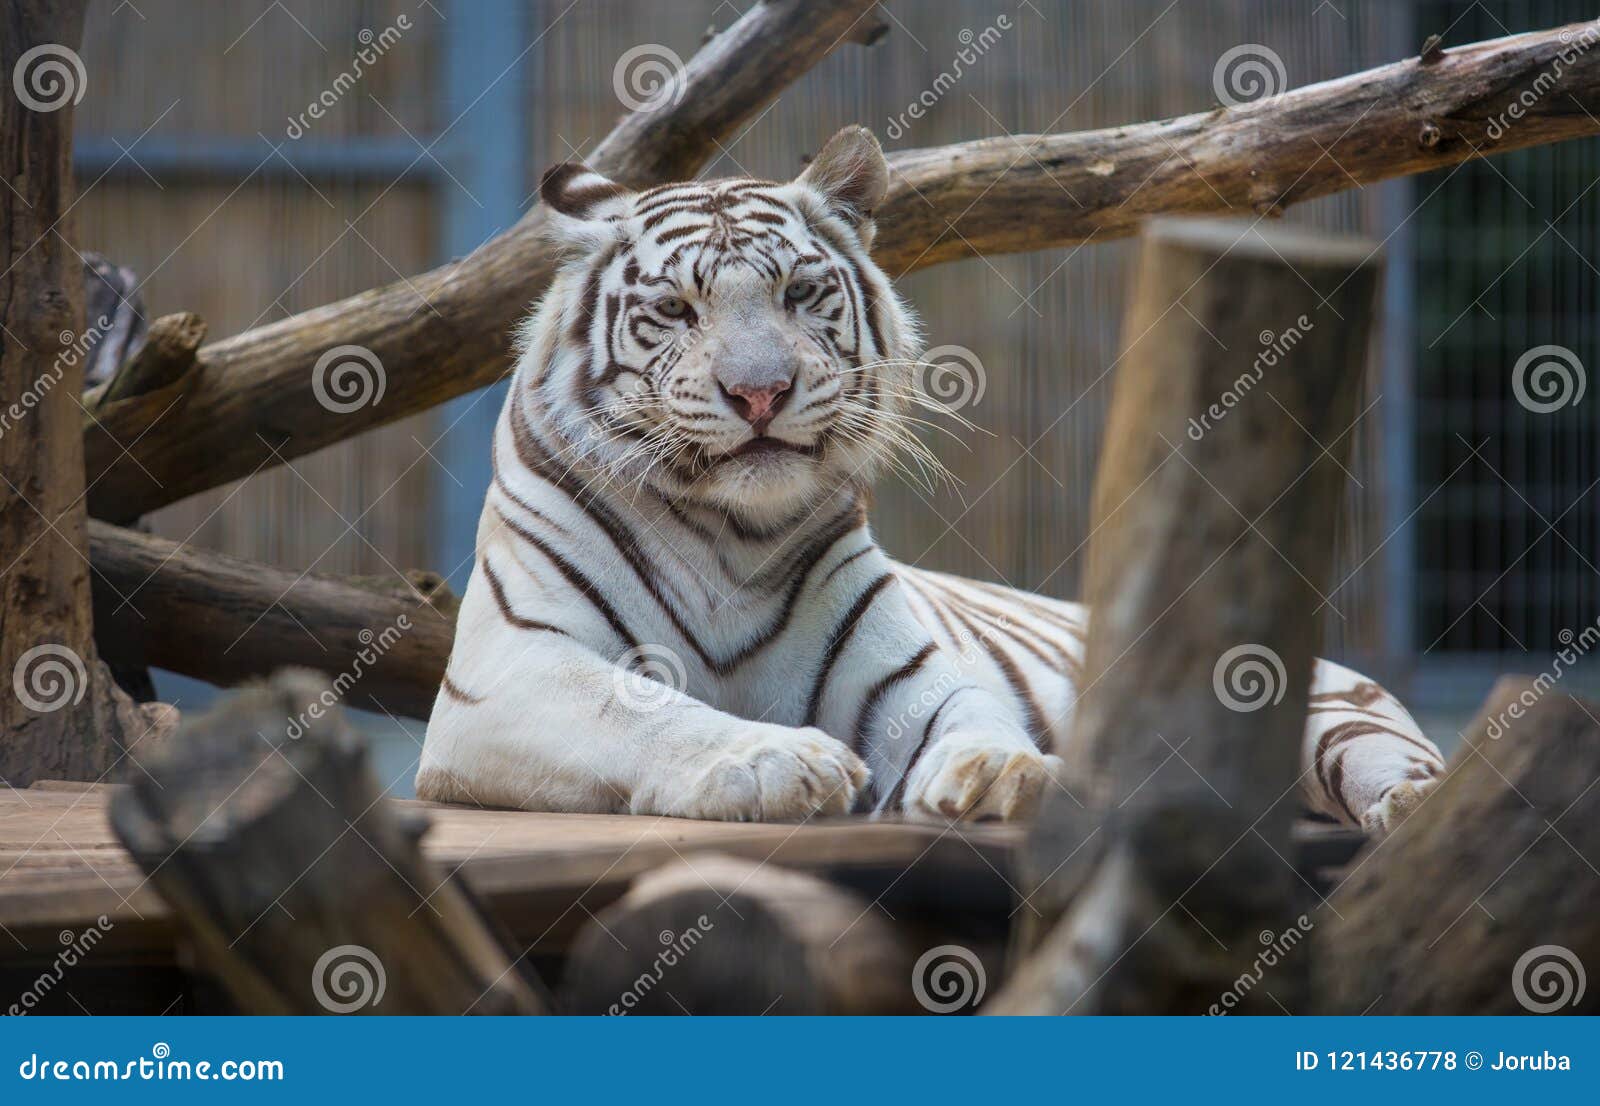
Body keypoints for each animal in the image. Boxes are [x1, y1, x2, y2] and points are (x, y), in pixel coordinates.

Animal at [415, 126, 1445, 832]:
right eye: (674, 309)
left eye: (799, 294)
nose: (760, 391)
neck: (728, 534)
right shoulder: (509, 671)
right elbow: (641, 707)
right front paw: (778, 760)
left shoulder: (904, 666)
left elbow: (971, 709)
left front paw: (1004, 774)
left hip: (1336, 709)